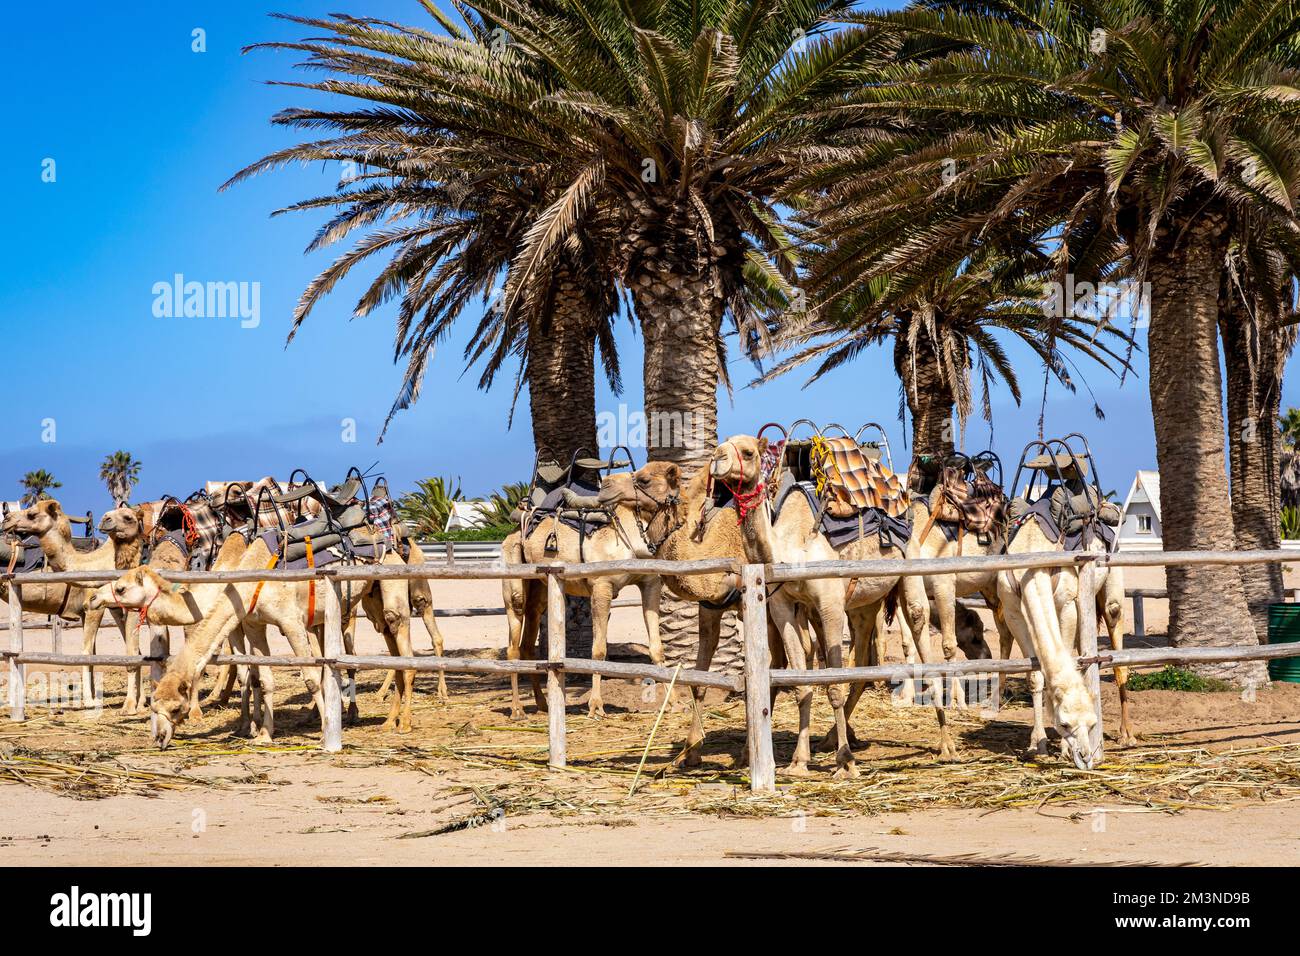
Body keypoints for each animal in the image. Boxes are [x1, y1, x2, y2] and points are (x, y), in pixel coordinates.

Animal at [709, 435, 949, 778]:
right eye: (723, 444)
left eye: (748, 451)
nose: (717, 458)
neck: (792, 549)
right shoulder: (783, 606)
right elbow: (802, 683)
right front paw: (799, 762)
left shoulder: (830, 605)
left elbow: (833, 684)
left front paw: (845, 761)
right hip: (864, 602)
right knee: (862, 660)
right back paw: (831, 737)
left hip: (910, 571)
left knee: (919, 627)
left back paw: (945, 744)